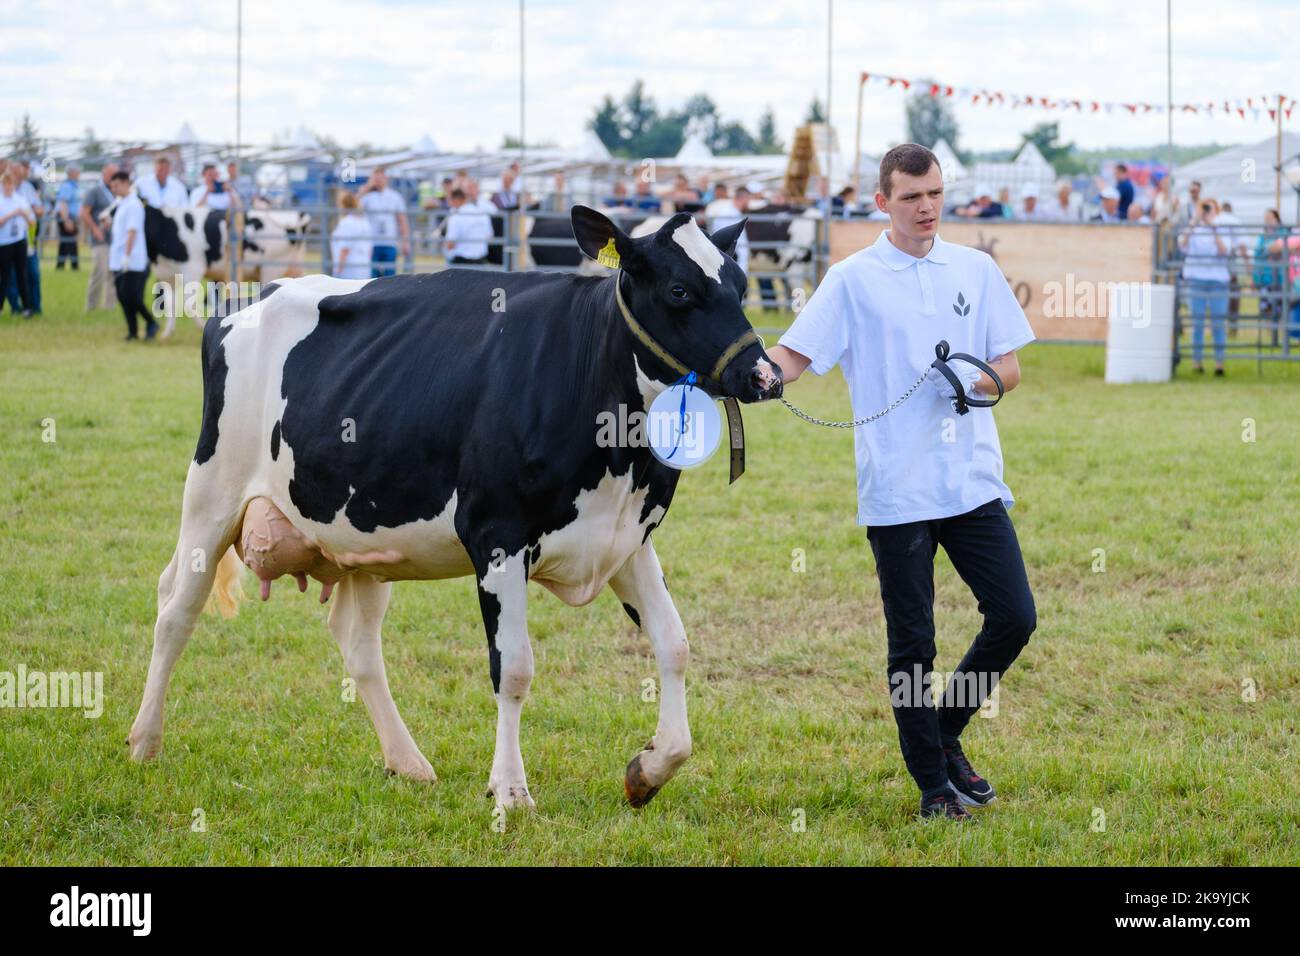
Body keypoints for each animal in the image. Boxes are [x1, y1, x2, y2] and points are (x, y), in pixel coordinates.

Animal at [127, 206, 784, 811]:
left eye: (740, 284)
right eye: (679, 290)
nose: (766, 374)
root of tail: (248, 300)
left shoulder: (627, 539)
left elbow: (674, 645)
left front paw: (649, 768)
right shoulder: (497, 536)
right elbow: (513, 668)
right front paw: (511, 792)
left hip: (363, 538)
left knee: (357, 642)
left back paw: (407, 761)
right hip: (211, 495)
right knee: (175, 608)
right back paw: (145, 741)